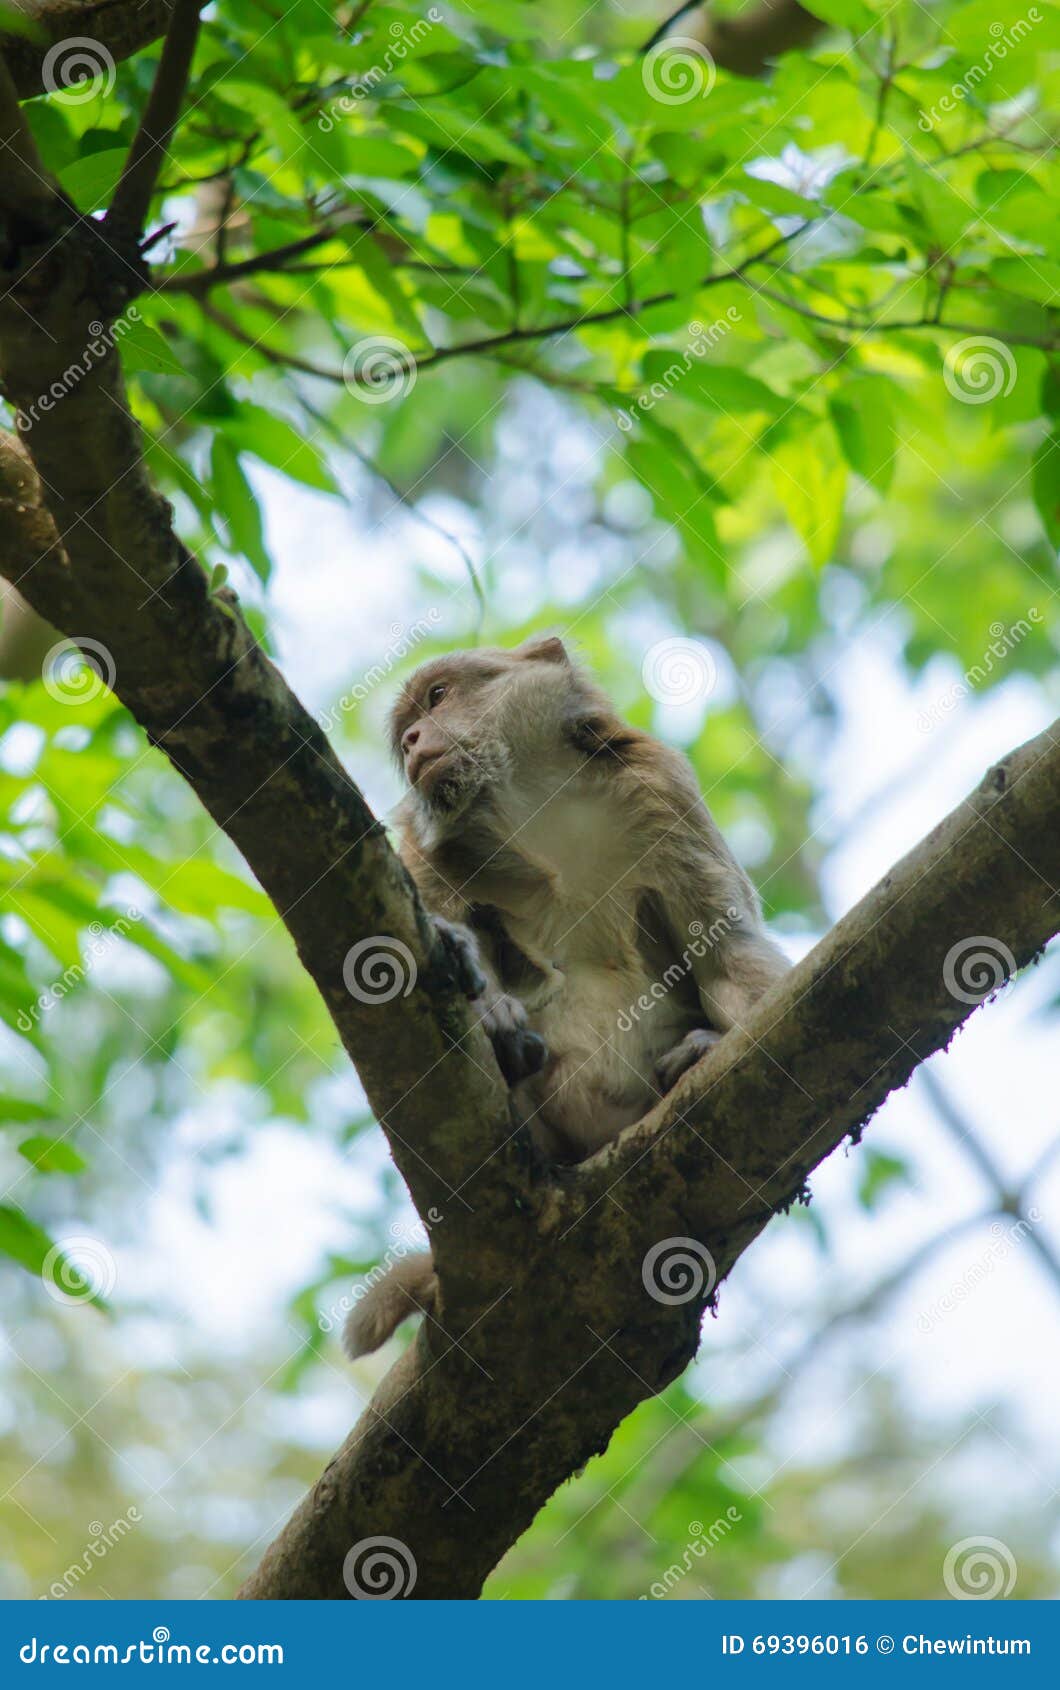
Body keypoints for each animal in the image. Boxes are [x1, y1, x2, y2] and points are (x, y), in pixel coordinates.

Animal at [344, 635, 790, 1357]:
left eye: (438, 697)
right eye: (407, 724)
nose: (413, 739)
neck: (536, 805)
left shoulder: (659, 785)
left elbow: (725, 954)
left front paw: (711, 1043)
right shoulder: (422, 841)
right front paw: (476, 983)